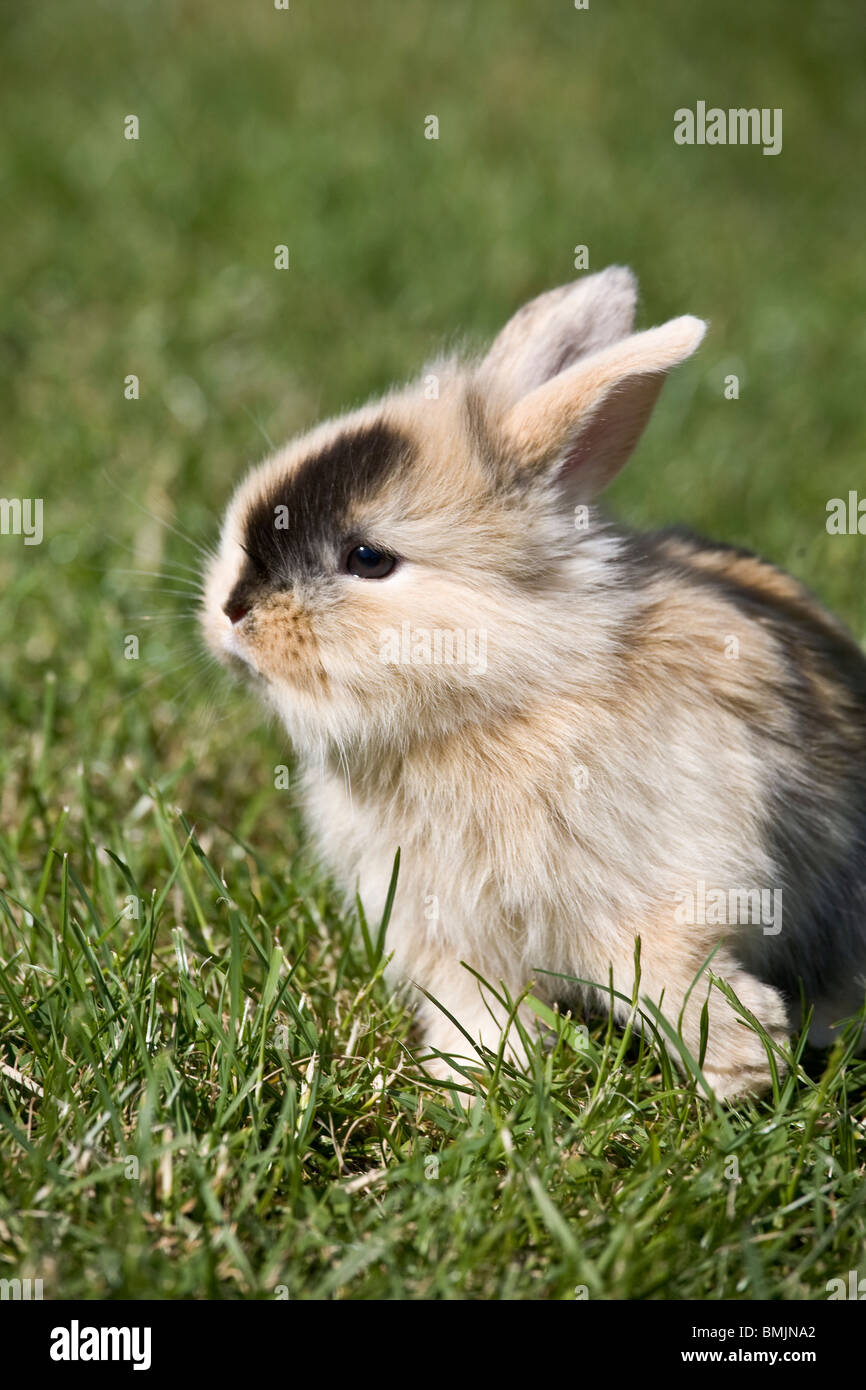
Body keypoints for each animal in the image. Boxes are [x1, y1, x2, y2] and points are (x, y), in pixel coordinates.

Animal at [201, 266, 866, 1099]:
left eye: (368, 558)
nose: (231, 614)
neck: (504, 704)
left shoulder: (674, 890)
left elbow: (669, 970)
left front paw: (743, 1069)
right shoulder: (447, 932)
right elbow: (475, 1001)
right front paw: (478, 1074)